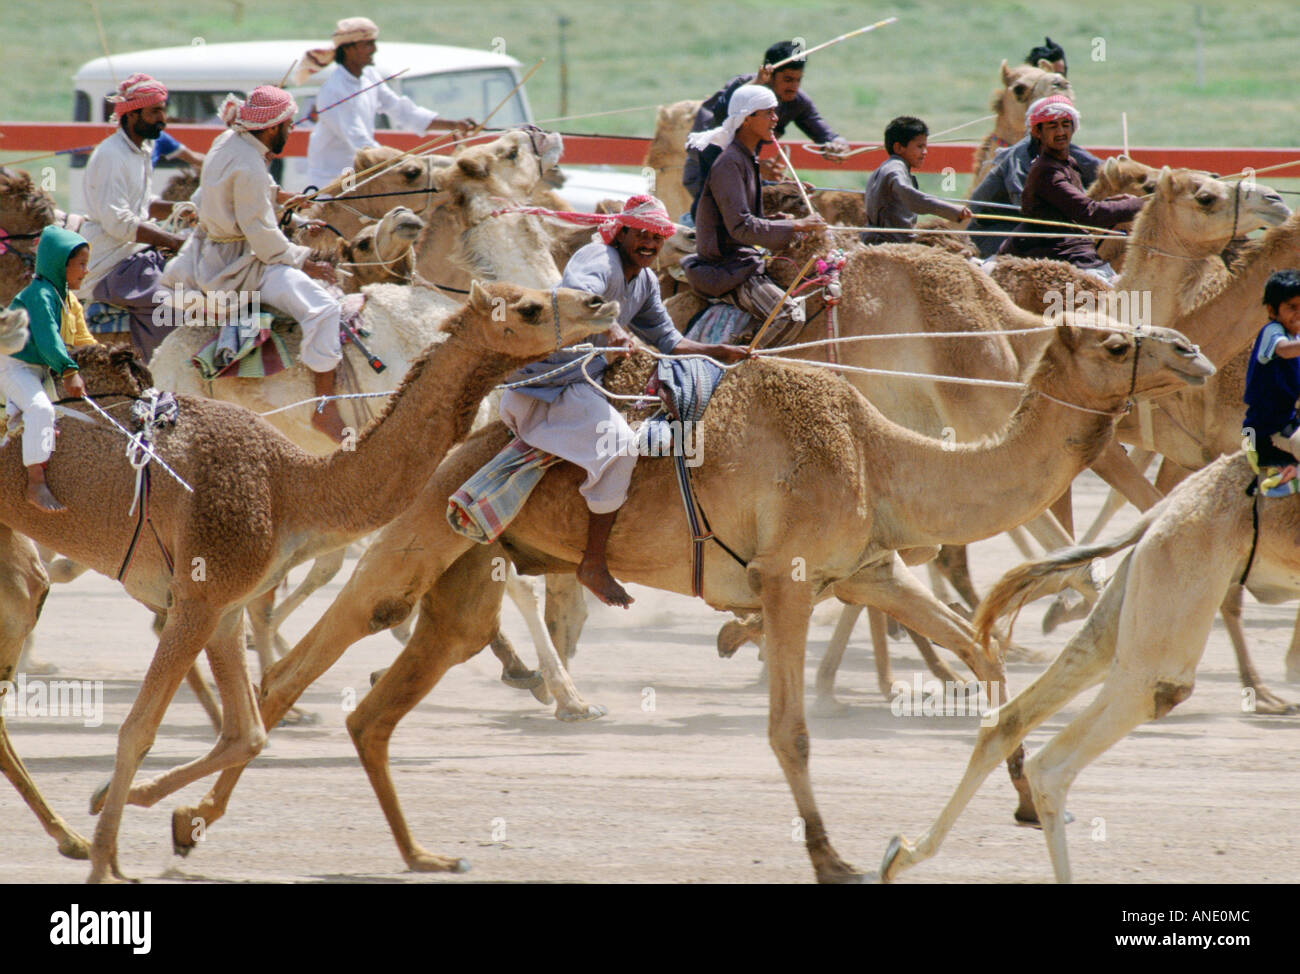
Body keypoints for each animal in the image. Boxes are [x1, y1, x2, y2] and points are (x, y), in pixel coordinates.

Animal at [0, 280, 615, 881]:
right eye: (529, 308)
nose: (600, 302)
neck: (293, 487)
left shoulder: (221, 605)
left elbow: (246, 734)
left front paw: (130, 811)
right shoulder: (202, 596)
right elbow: (138, 731)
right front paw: (108, 861)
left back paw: (72, 836)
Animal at [167, 313, 1211, 881]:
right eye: (1117, 341)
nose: (1196, 355)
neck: (881, 453)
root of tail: (470, 432)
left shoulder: (866, 568)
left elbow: (983, 652)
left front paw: (1027, 799)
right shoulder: (791, 579)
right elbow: (790, 729)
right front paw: (830, 856)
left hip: (472, 572)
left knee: (384, 699)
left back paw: (420, 852)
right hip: (428, 524)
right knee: (323, 649)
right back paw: (189, 817)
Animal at [880, 448, 1299, 883]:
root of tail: (1164, 508)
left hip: (1144, 587)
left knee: (1010, 717)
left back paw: (902, 853)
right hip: (1178, 587)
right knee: (1069, 751)